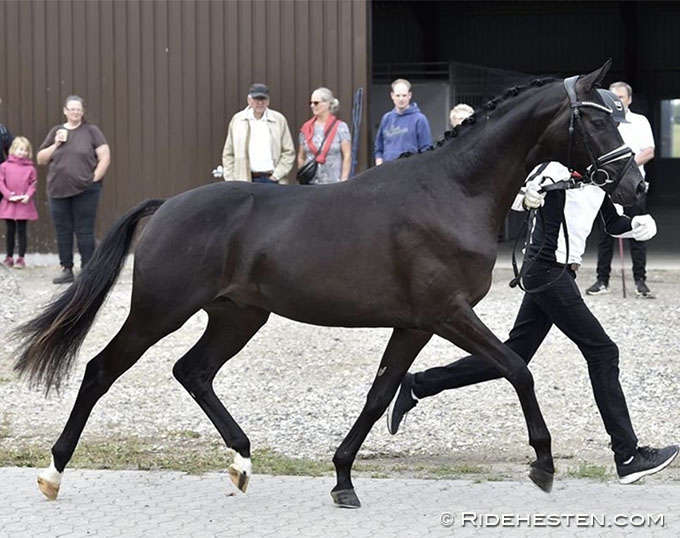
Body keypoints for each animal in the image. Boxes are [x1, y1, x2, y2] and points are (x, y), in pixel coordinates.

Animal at [14, 60, 644, 508]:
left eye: (618, 113)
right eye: (595, 118)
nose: (633, 186)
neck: (452, 191)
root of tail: (165, 205)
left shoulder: (414, 324)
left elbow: (381, 393)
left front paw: (343, 478)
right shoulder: (448, 314)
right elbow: (517, 368)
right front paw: (543, 465)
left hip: (237, 315)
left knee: (192, 370)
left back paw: (242, 462)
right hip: (158, 311)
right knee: (101, 370)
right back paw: (52, 473)